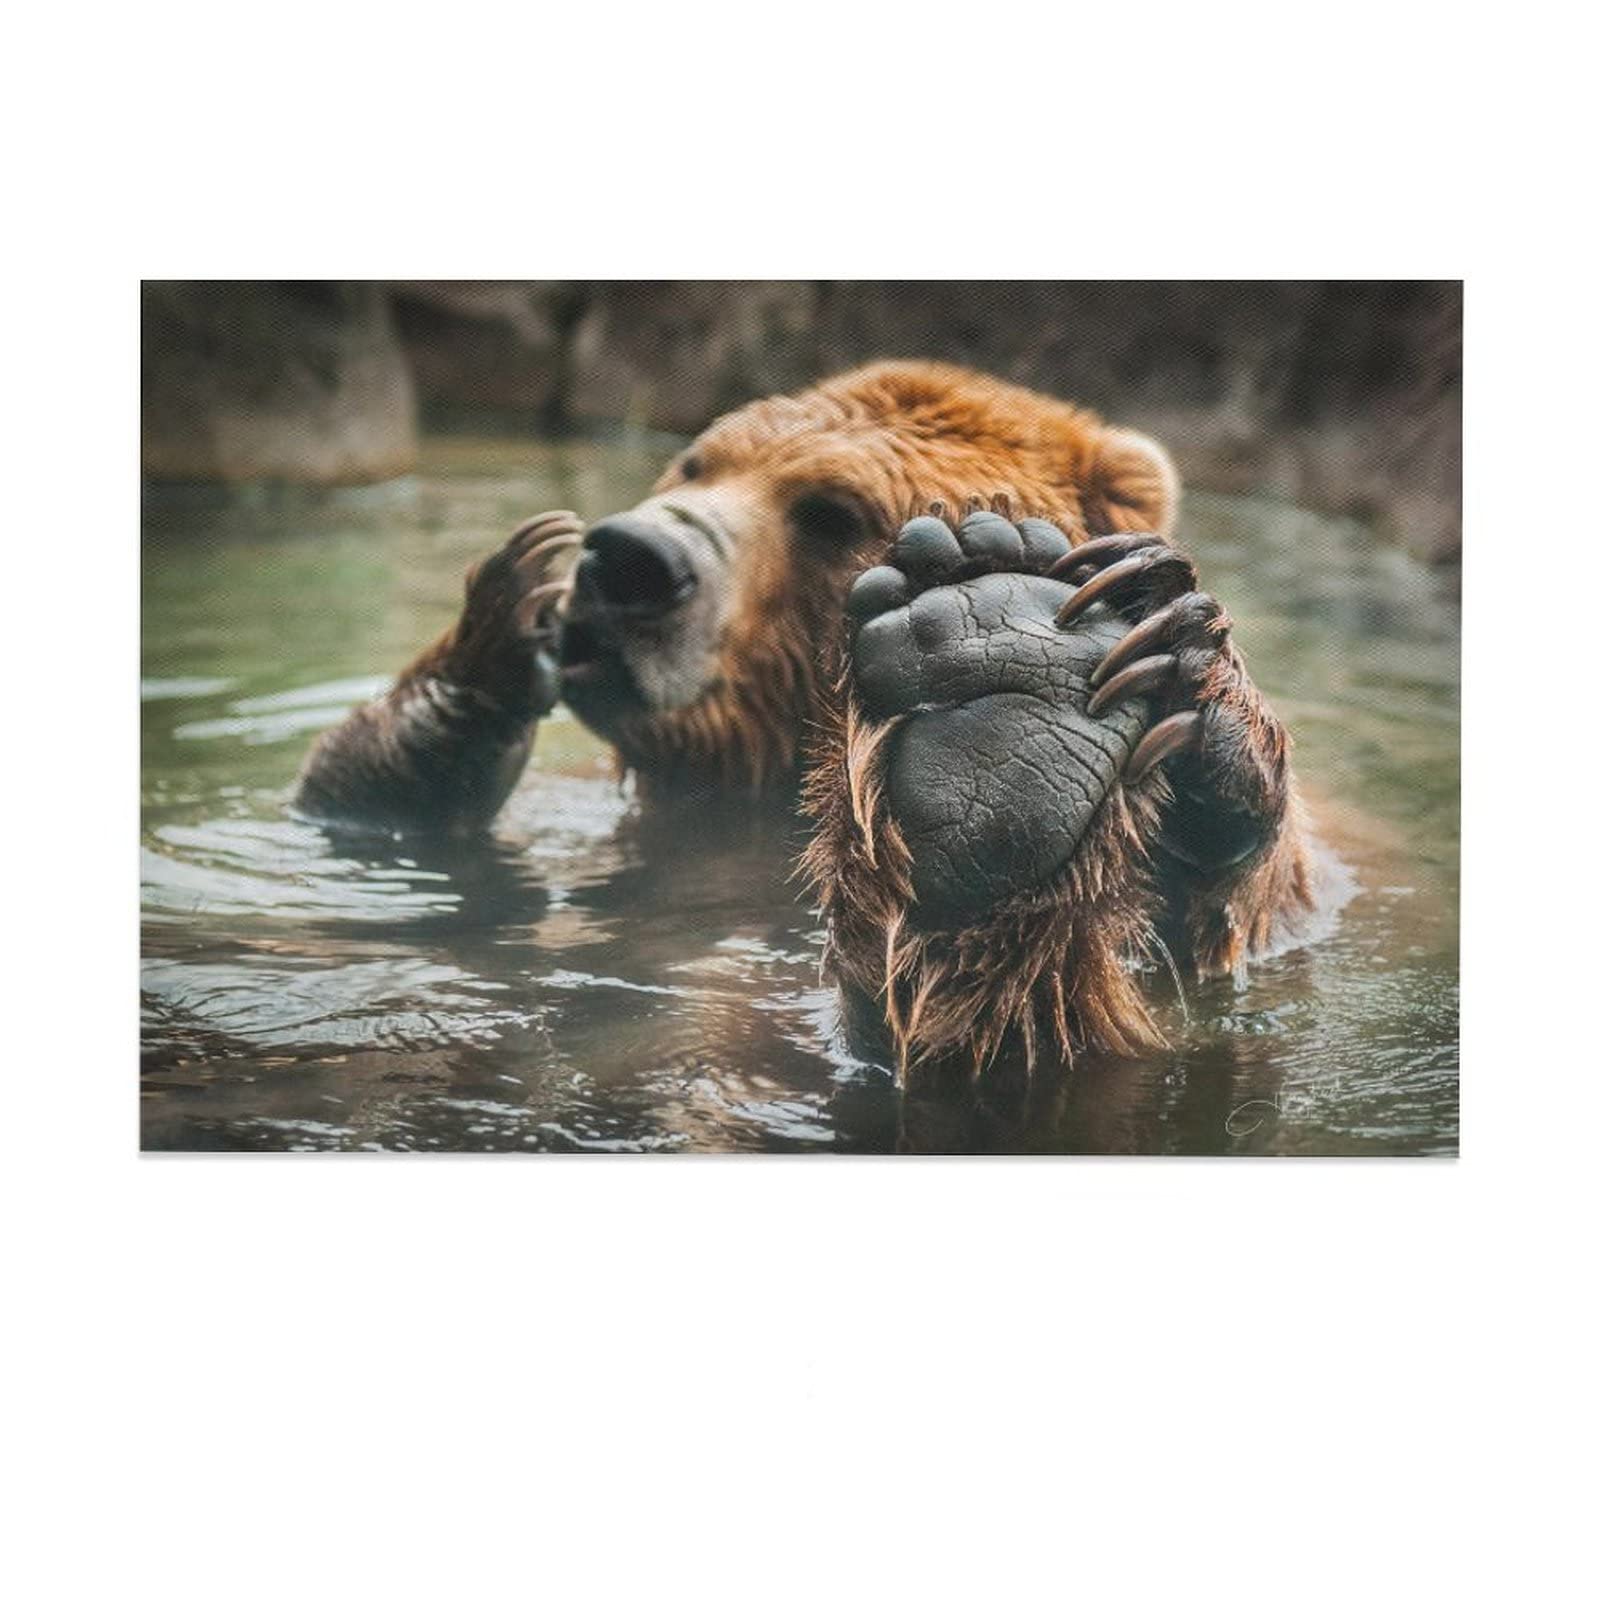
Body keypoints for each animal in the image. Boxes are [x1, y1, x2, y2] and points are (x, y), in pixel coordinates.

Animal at [296, 361, 1316, 1073]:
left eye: (830, 510)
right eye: (697, 461)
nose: (629, 558)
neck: (754, 778)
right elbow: (350, 816)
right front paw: (509, 610)